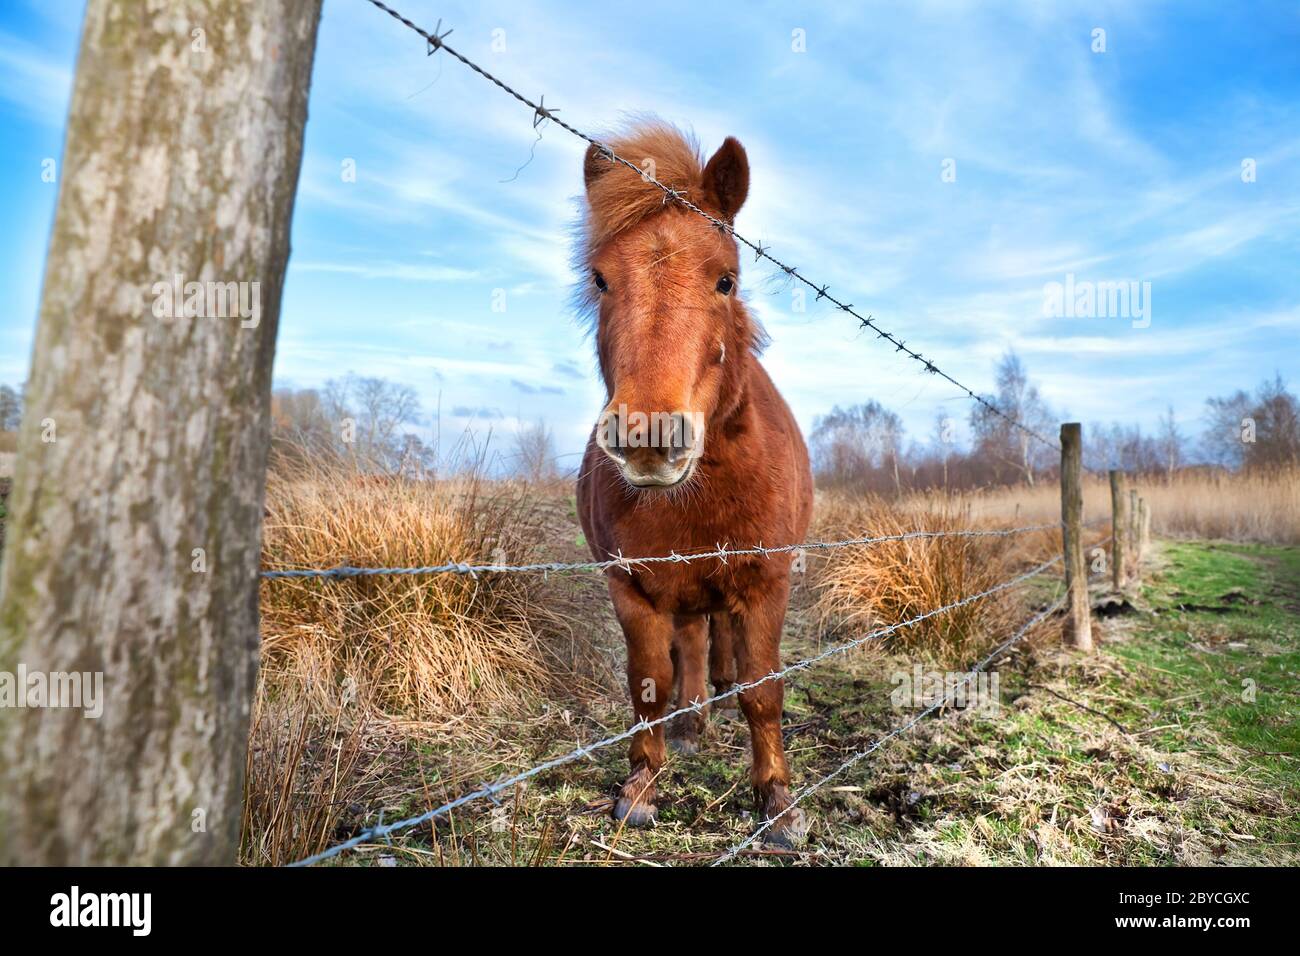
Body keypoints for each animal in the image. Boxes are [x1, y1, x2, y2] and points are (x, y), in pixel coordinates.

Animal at [575, 122, 815, 846]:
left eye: (725, 281)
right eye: (600, 279)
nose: (649, 437)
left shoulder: (766, 582)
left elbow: (764, 690)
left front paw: (778, 803)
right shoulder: (631, 587)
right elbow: (648, 682)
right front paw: (639, 788)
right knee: (689, 648)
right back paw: (690, 723)